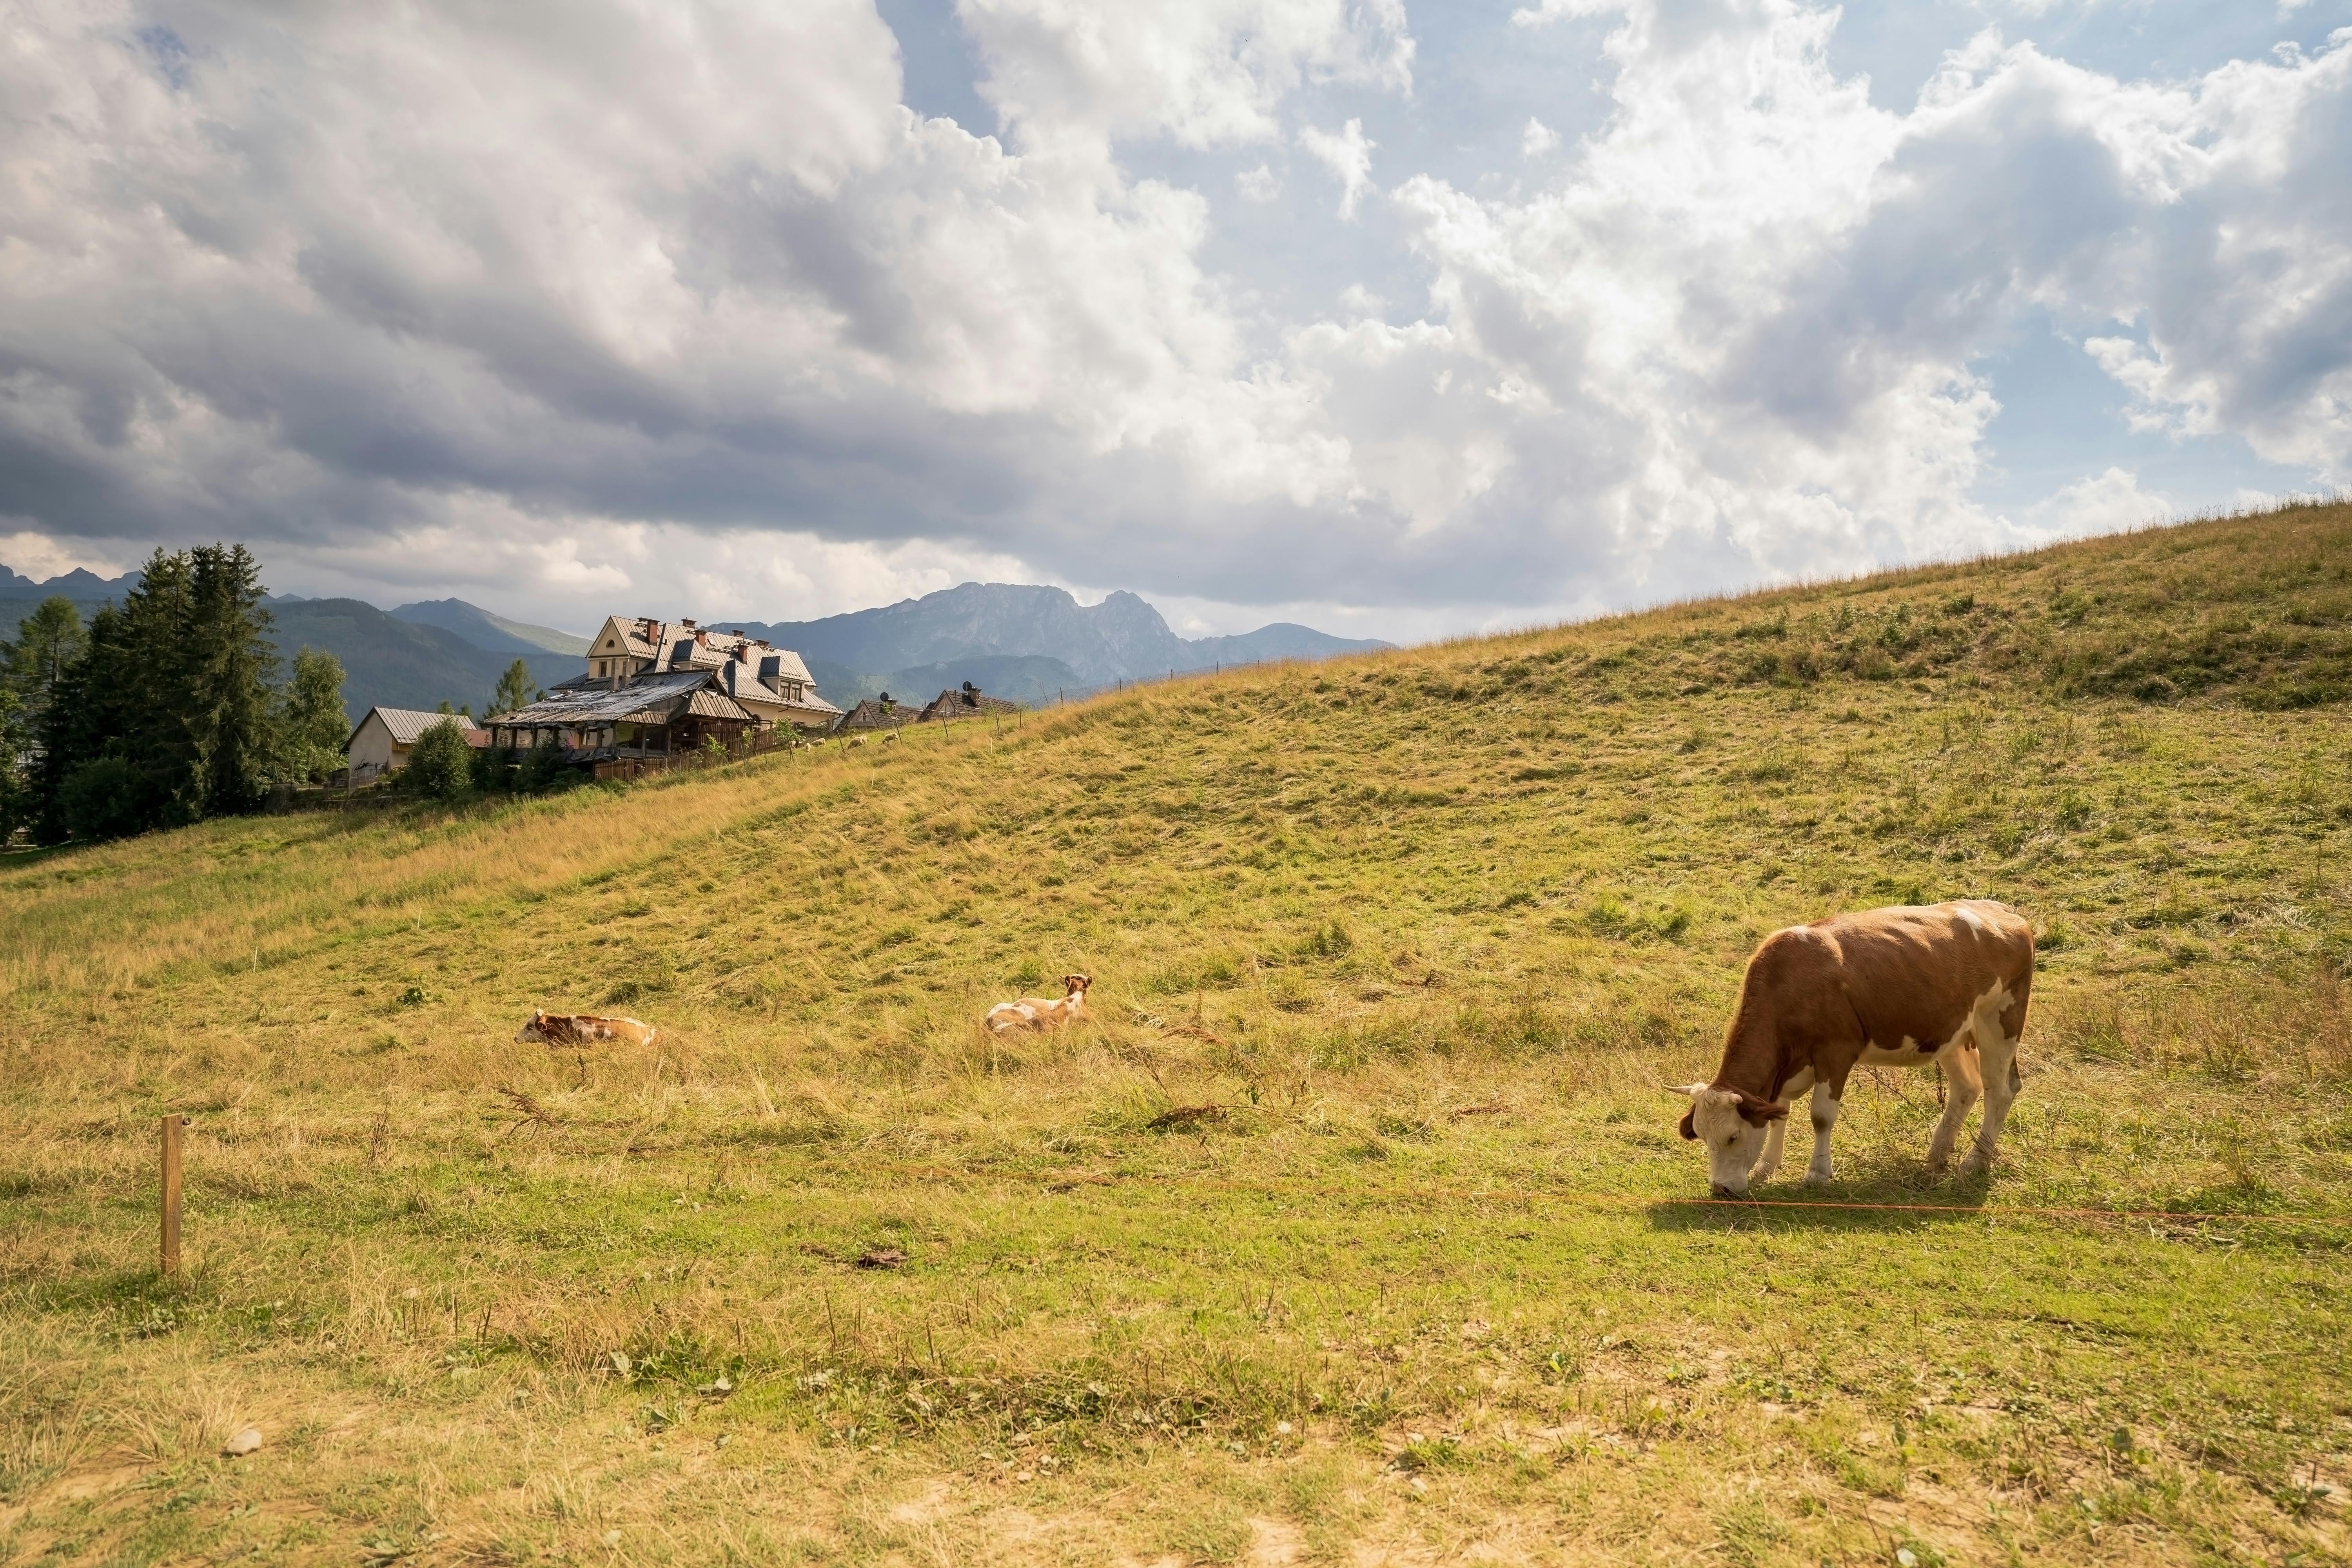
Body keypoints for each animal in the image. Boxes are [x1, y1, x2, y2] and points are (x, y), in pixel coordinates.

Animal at [1675, 901, 2033, 1196]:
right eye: (1702, 1136)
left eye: (1733, 1137)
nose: (1720, 1189)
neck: (1788, 983)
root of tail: (2001, 910)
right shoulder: (1785, 1068)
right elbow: (1779, 1114)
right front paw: (1766, 1168)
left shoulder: (1835, 1052)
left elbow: (1821, 1116)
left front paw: (1817, 1173)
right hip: (1953, 1033)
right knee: (1967, 1086)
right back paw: (1938, 1153)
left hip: (2000, 1021)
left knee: (2000, 1089)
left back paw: (1977, 1160)